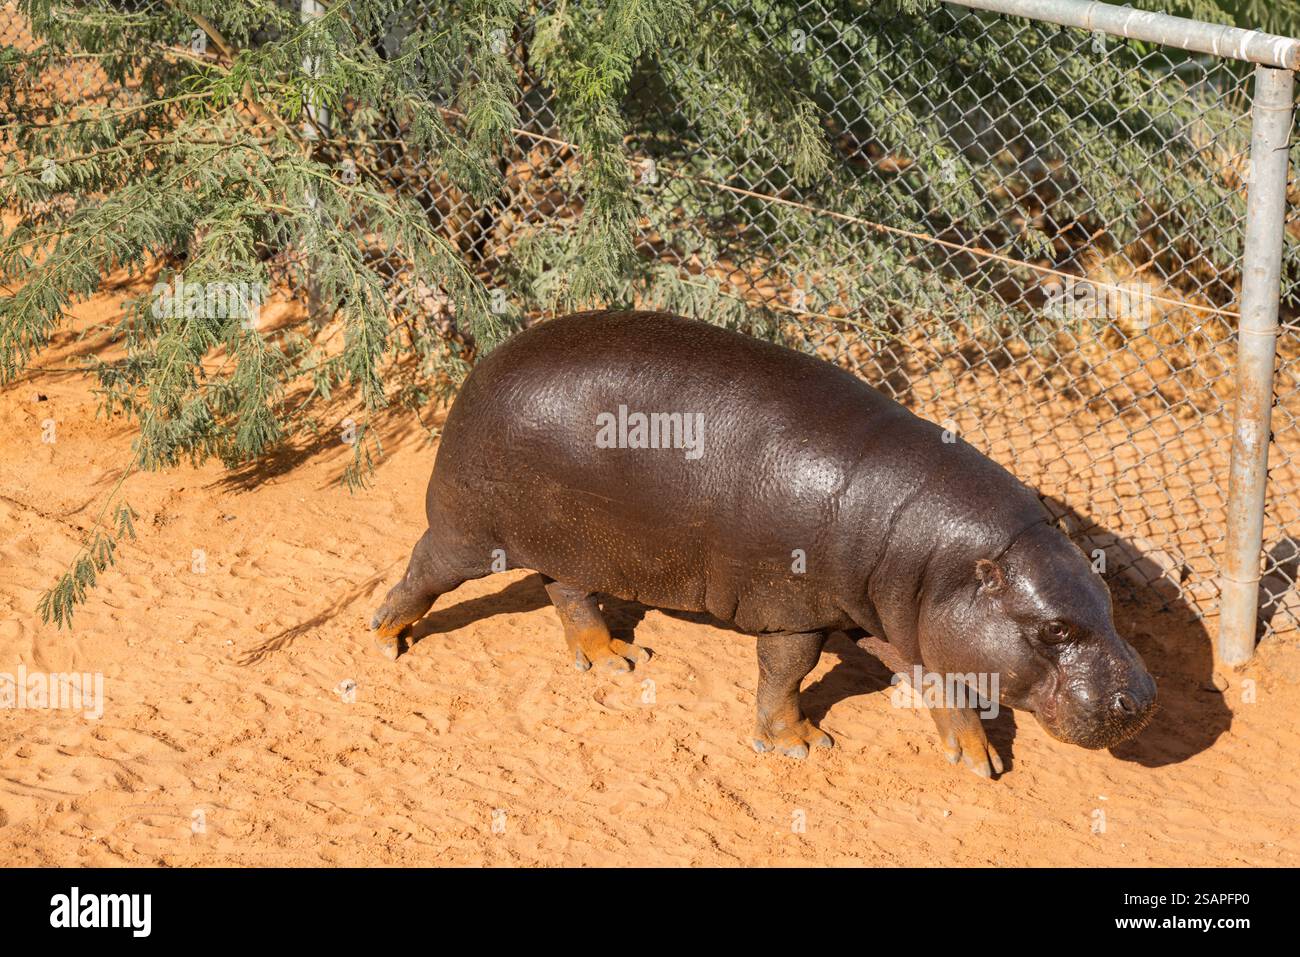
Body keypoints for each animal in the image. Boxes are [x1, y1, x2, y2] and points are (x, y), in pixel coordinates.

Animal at [371, 310, 1157, 777]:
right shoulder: (793, 609)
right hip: (469, 530)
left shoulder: (903, 619)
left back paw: (617, 659)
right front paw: (800, 744)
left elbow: (943, 681)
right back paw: (386, 637)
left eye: (1108, 597)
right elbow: (788, 673)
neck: (941, 559)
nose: (1142, 699)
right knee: (425, 567)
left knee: (568, 590)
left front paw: (977, 760)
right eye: (1053, 629)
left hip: (573, 539)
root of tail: (484, 363)